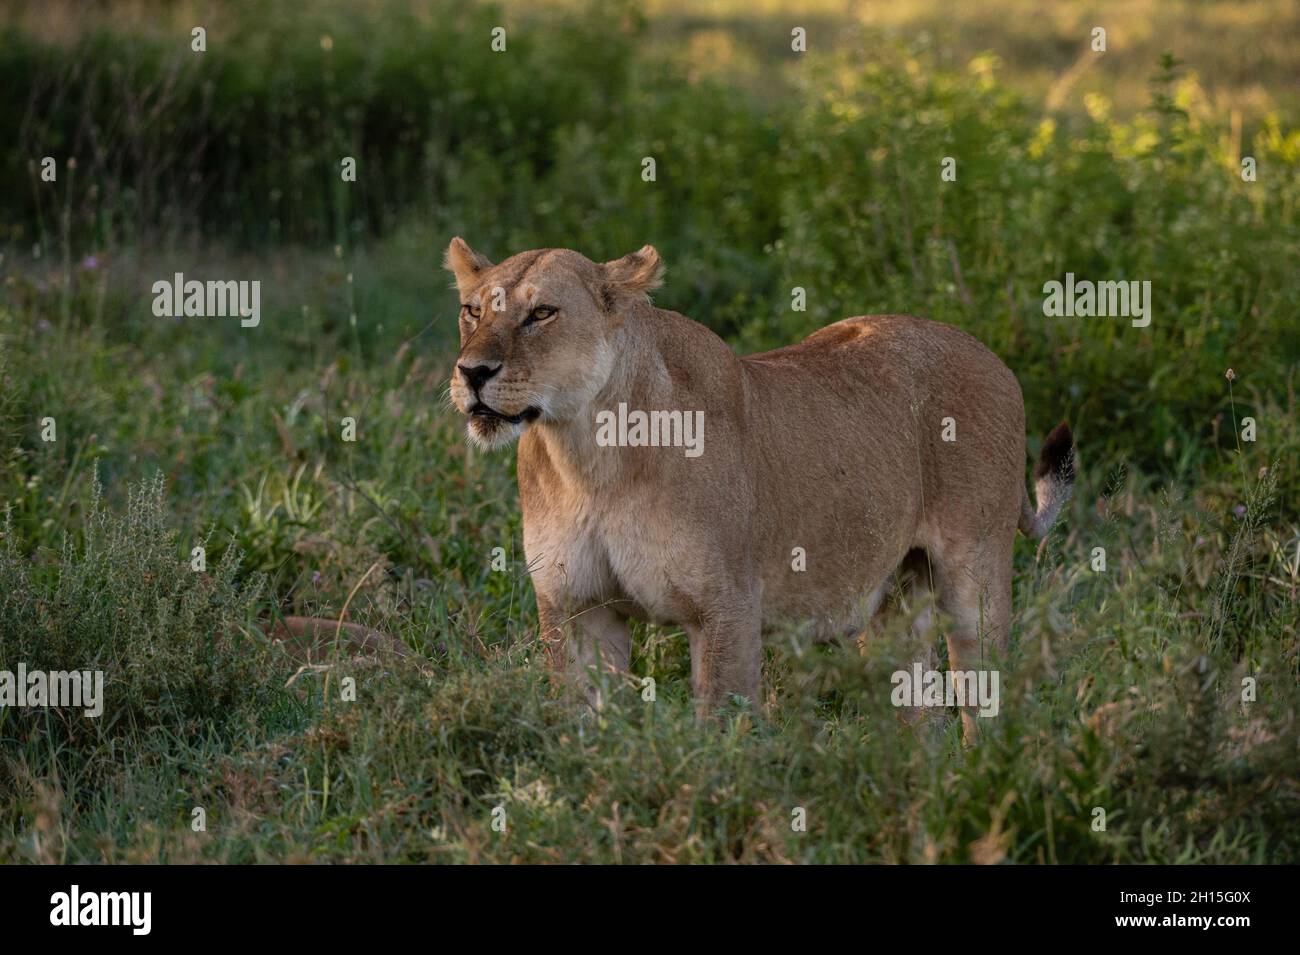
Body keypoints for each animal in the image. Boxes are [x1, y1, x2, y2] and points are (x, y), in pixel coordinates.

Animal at [445, 238, 1075, 739]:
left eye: (542, 313)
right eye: (472, 311)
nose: (471, 372)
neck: (588, 457)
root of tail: (994, 357)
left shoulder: (726, 608)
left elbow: (718, 735)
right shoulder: (578, 609)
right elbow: (586, 731)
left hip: (976, 581)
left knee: (985, 697)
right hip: (894, 601)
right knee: (918, 715)